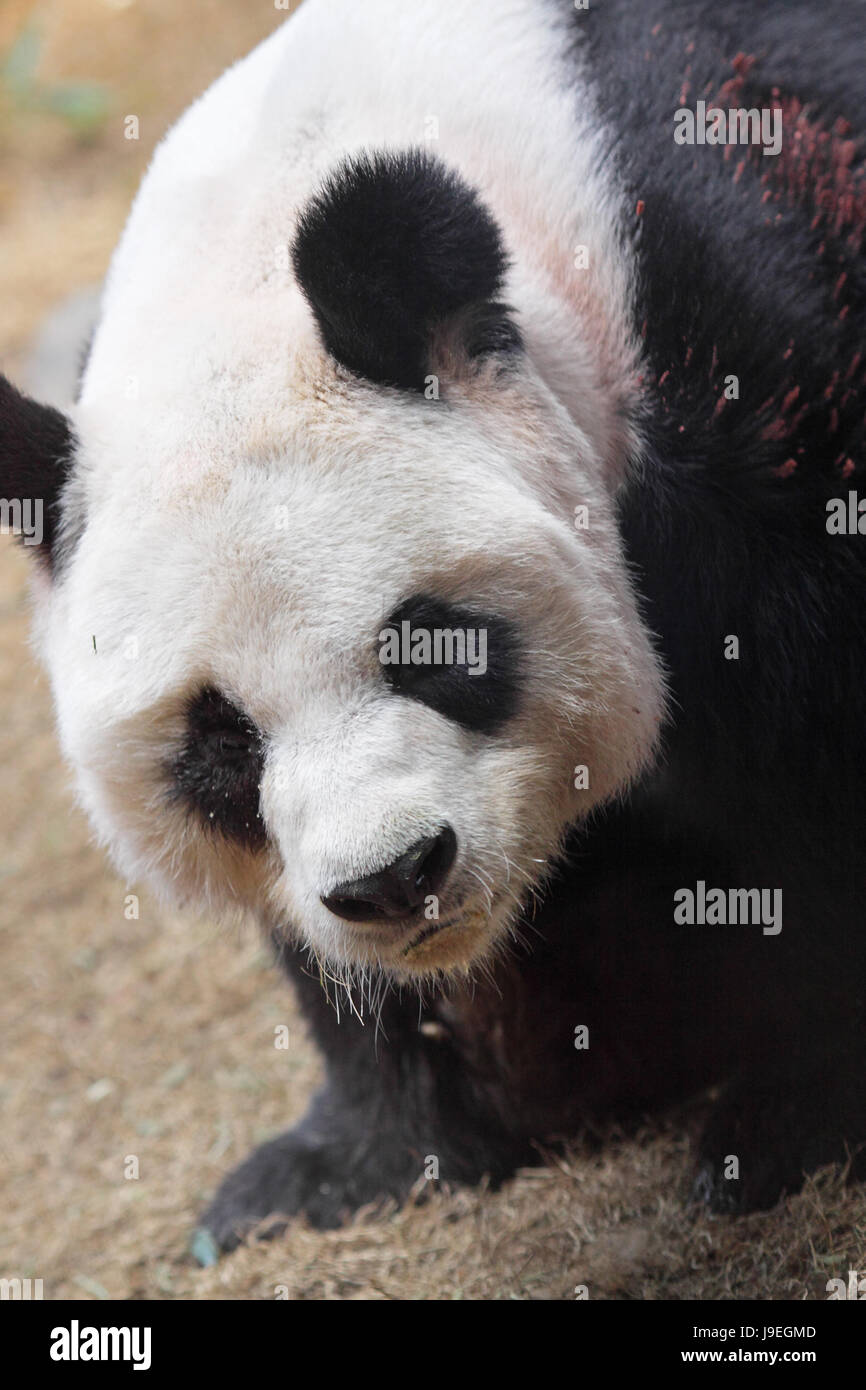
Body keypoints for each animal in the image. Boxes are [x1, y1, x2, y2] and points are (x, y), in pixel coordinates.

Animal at [2, 0, 865, 1255]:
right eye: (220, 743)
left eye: (432, 645)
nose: (392, 878)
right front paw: (348, 1161)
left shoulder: (749, 360)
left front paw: (795, 1111)